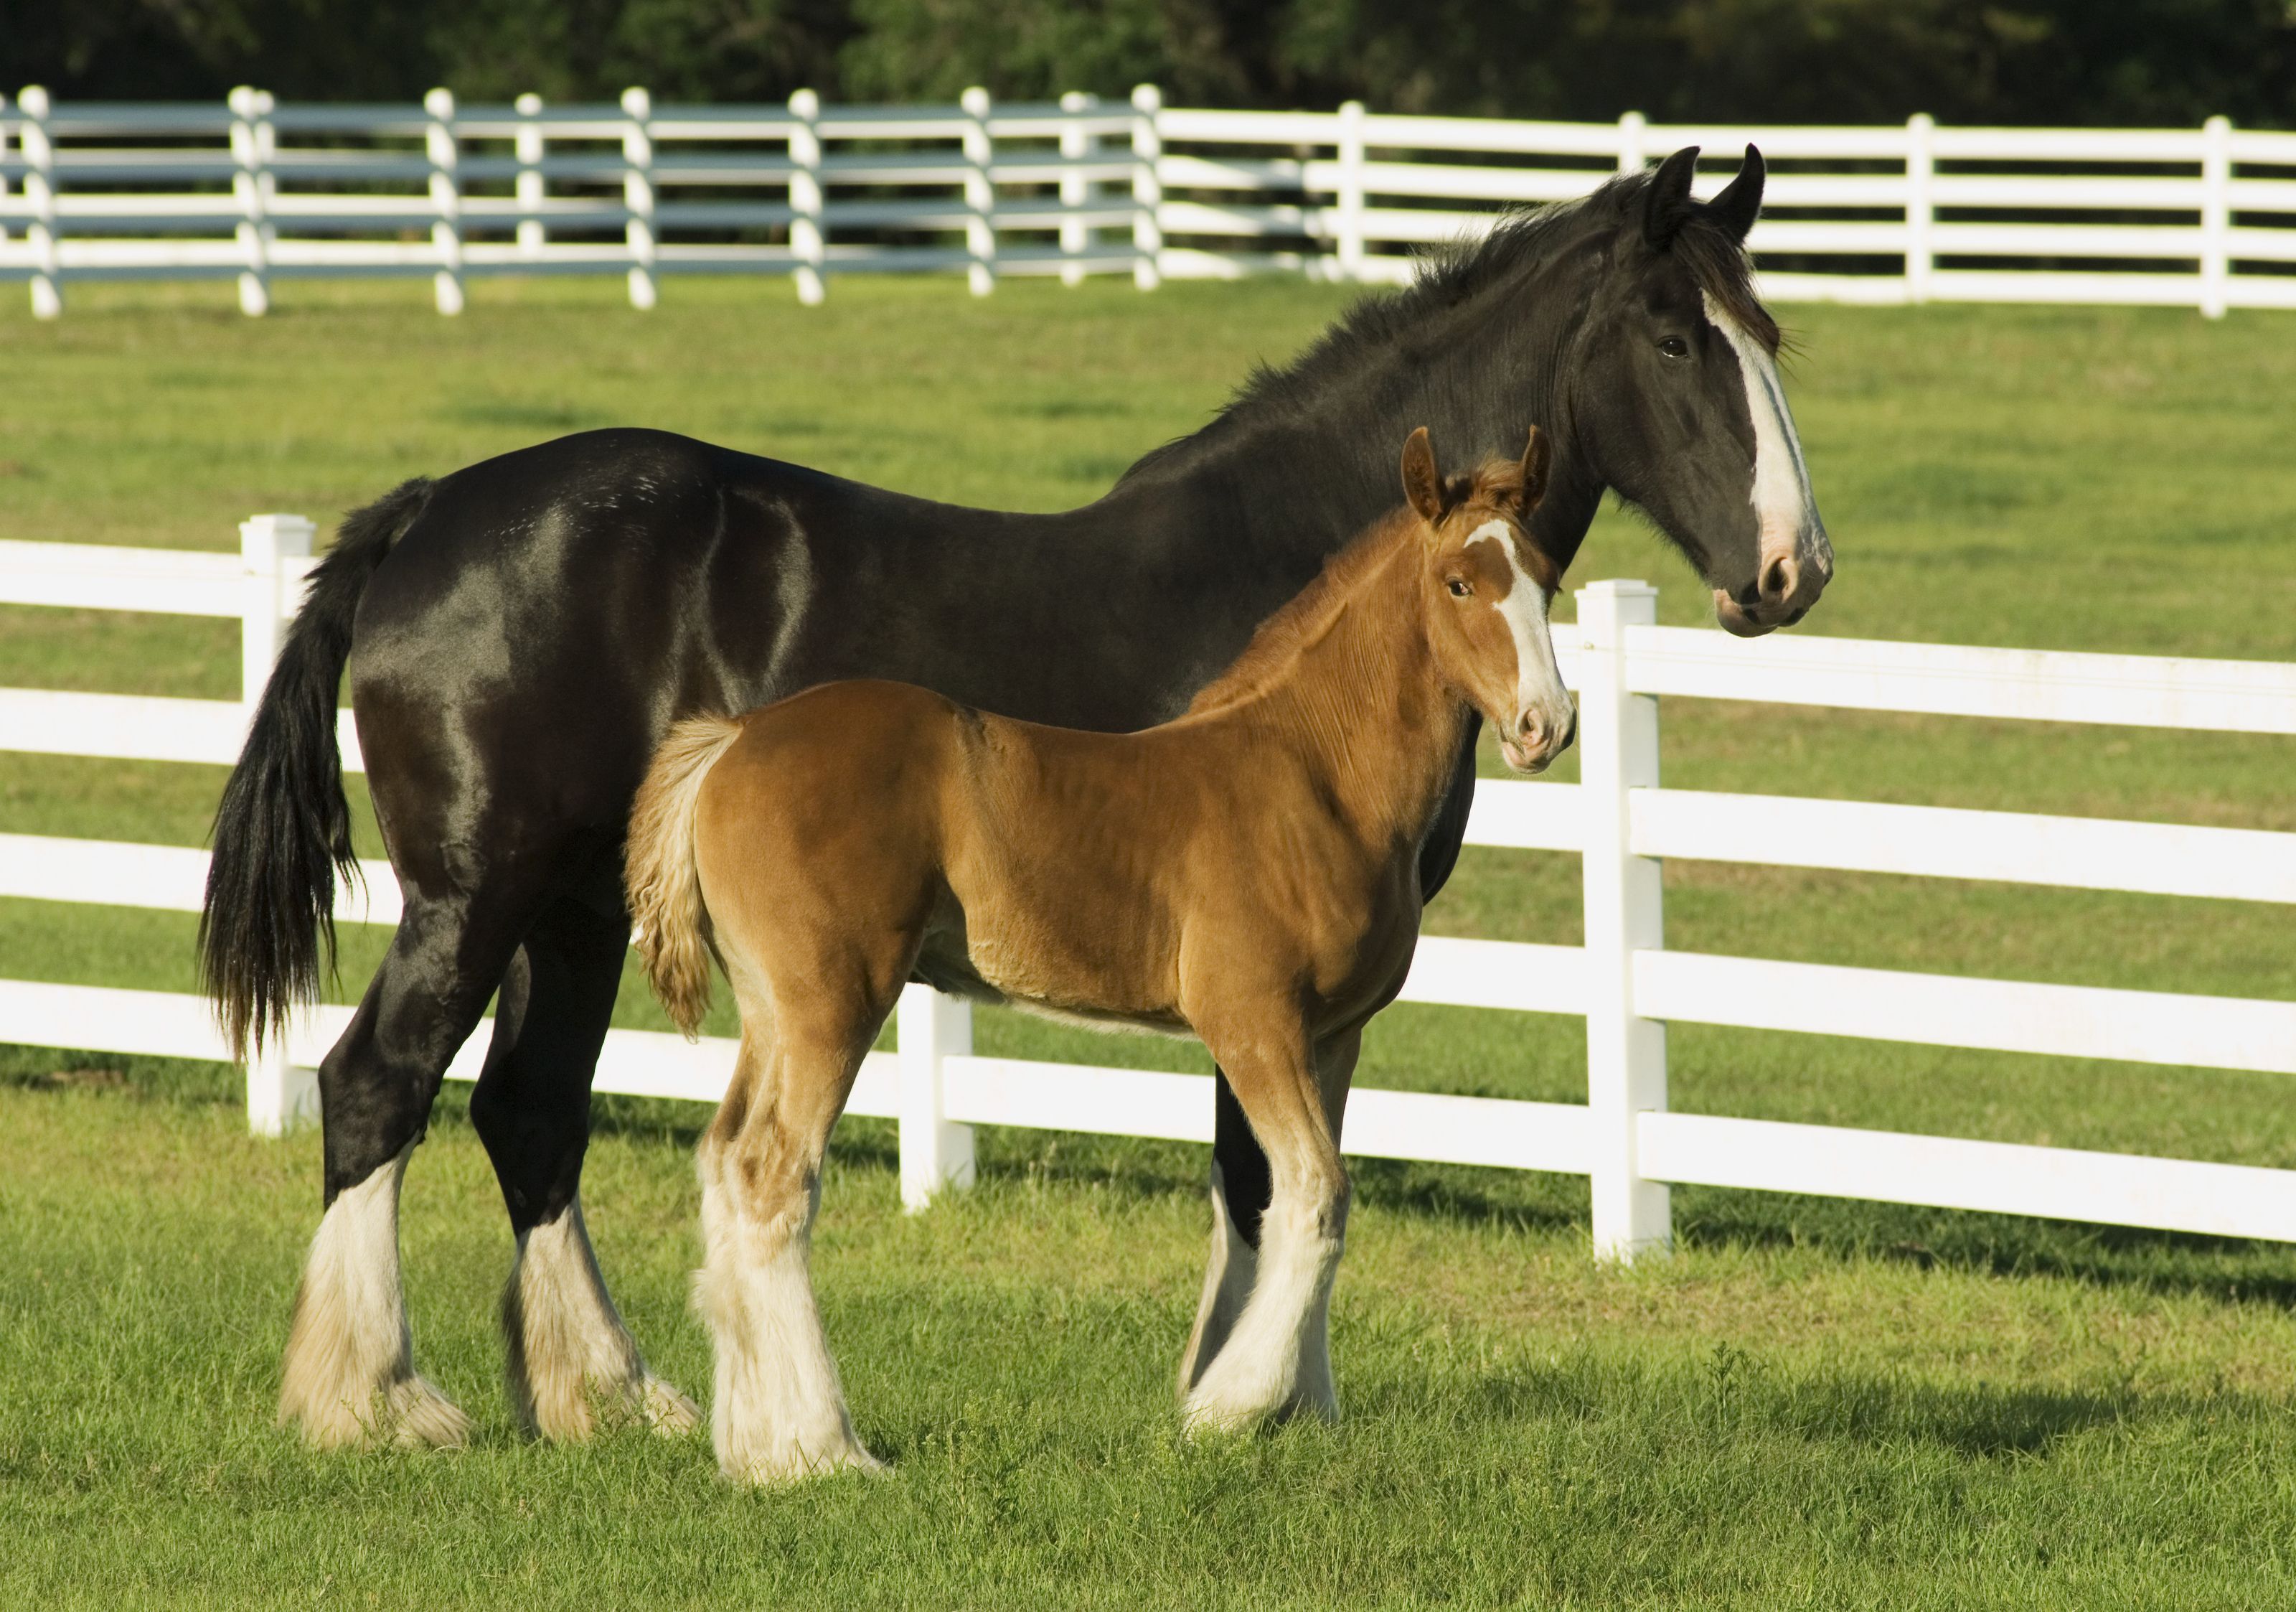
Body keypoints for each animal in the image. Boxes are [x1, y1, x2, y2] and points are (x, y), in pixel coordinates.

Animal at [624, 425, 1567, 1481]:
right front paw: (1226, 1407)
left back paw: (753, 1446)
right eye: (1458, 582)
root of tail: (732, 737)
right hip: (833, 999)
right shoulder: (1250, 1021)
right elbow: (1313, 1195)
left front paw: (1302, 1410)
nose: (1545, 724)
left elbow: (1310, 1203)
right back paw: (824, 1449)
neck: (1313, 773)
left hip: (771, 1010)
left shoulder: (1335, 1035)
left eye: (1548, 579)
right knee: (773, 1174)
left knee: (724, 1160)